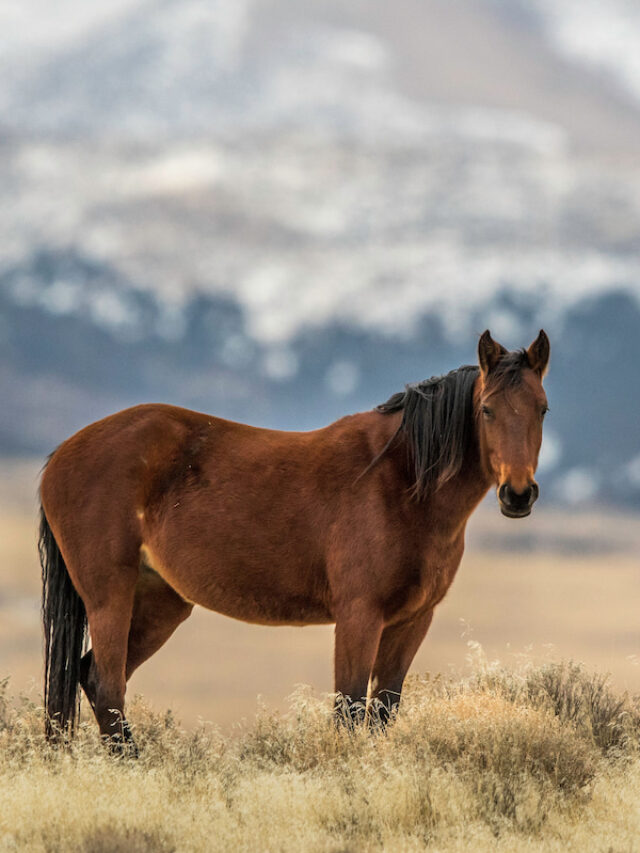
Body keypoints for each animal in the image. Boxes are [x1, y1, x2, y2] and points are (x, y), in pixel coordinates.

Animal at [39, 329, 550, 750]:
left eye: (542, 409)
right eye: (487, 410)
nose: (518, 494)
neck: (400, 482)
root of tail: (61, 455)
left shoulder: (412, 621)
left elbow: (382, 712)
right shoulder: (359, 616)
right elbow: (349, 710)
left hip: (161, 603)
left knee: (92, 678)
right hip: (110, 597)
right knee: (108, 687)